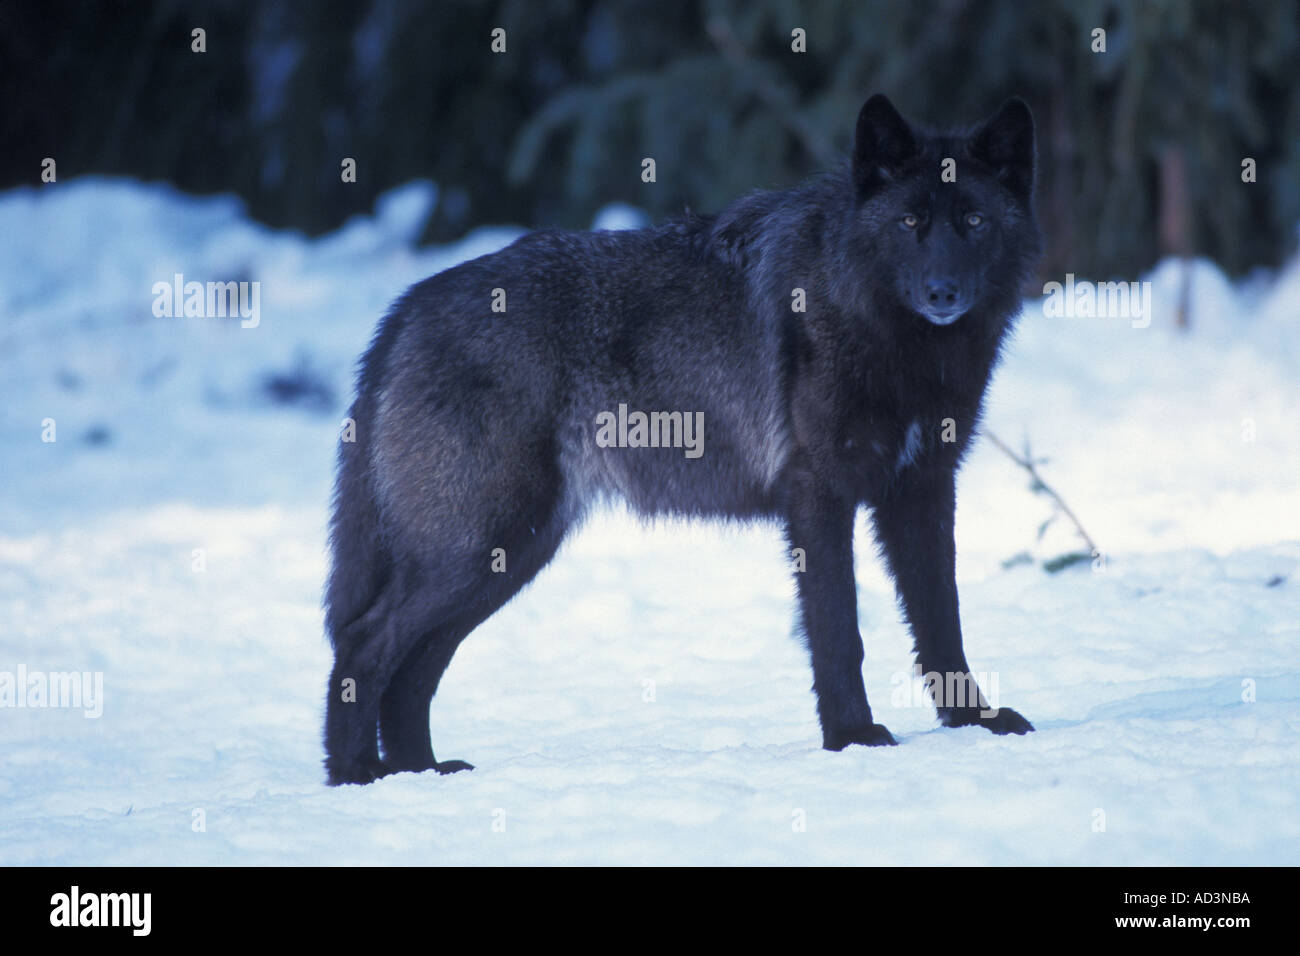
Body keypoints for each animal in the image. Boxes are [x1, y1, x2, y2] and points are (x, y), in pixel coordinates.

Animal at [323, 94, 1041, 784]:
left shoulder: (923, 490)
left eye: (974, 222)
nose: (943, 292)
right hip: (481, 545)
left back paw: (420, 774)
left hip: (512, 554)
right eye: (910, 224)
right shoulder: (819, 496)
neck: (890, 337)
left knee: (412, 670)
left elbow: (942, 619)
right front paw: (852, 737)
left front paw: (974, 723)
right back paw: (357, 774)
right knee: (363, 642)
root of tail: (405, 307)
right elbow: (839, 630)